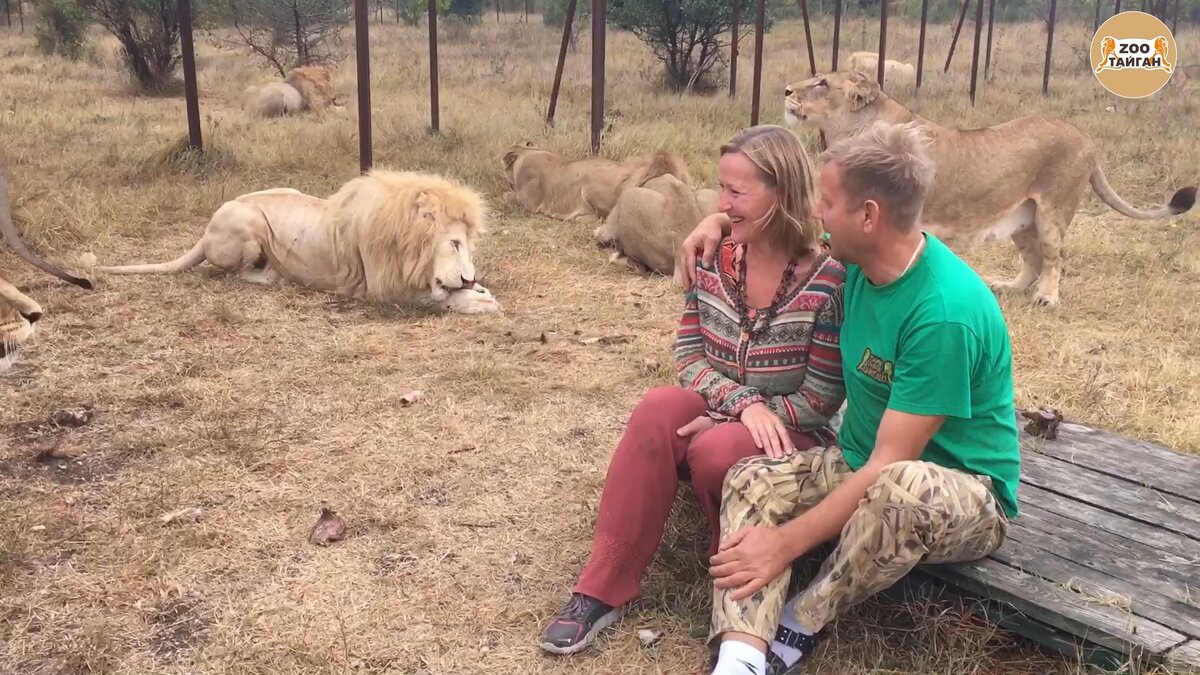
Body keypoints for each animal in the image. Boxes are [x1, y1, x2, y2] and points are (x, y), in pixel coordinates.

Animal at [79, 168, 501, 314]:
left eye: (467, 244)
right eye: (455, 243)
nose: (469, 278)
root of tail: (205, 230)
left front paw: (477, 290)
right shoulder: (379, 289)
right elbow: (435, 299)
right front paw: (477, 301)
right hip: (247, 222)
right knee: (234, 274)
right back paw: (272, 276)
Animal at [782, 69, 1195, 306]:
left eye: (822, 83)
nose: (785, 91)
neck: (850, 129)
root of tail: (1085, 137)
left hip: (1053, 211)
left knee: (1054, 259)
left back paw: (1047, 298)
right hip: (1022, 217)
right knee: (1032, 260)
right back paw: (1008, 288)